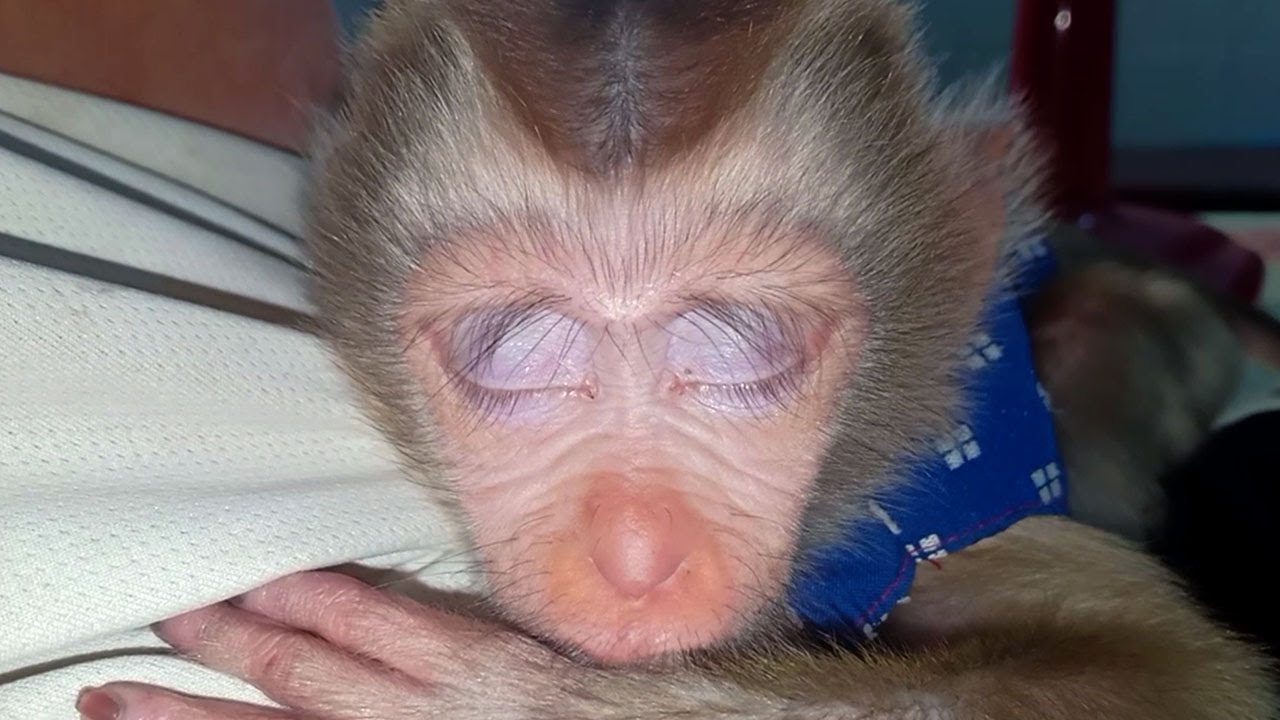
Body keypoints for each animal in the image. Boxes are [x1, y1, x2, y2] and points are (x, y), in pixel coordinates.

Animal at [75, 1, 1277, 718]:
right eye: (512, 353)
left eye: (742, 349)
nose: (634, 560)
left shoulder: (965, 500)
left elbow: (1176, 675)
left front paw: (512, 695)